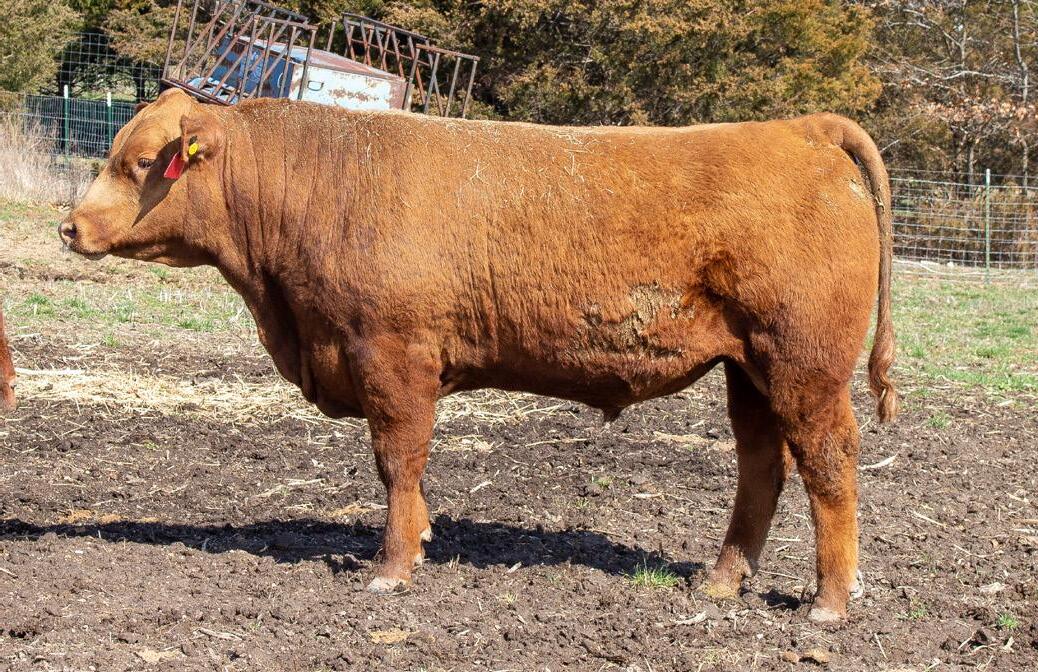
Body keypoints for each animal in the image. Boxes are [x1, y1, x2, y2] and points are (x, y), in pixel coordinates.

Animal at [60, 88, 897, 623]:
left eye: (139, 163)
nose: (69, 226)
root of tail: (797, 128)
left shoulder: (392, 356)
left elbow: (398, 461)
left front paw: (391, 570)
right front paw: (422, 542)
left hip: (805, 364)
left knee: (829, 461)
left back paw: (828, 602)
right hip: (749, 369)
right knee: (763, 464)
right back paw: (721, 583)